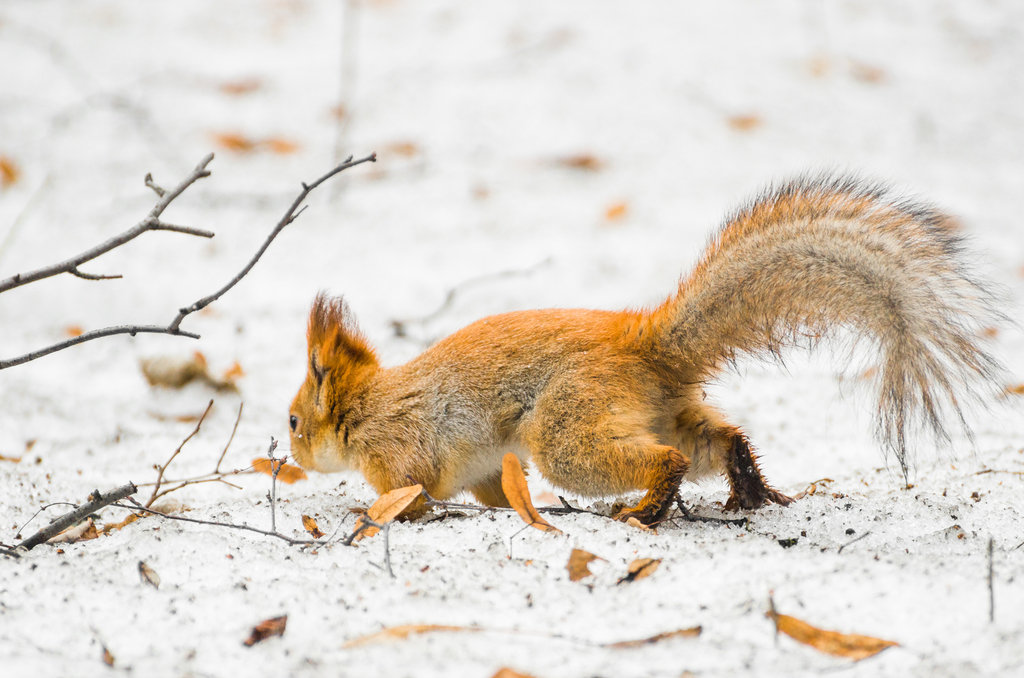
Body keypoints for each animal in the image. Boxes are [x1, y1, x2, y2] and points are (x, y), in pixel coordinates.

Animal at [287, 175, 1001, 525]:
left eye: (294, 421)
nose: (290, 456)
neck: (367, 410)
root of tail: (642, 346)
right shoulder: (483, 470)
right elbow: (491, 493)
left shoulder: (399, 455)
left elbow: (410, 495)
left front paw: (368, 512)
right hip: (660, 411)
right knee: (719, 439)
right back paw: (750, 493)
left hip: (570, 426)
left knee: (664, 459)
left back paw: (646, 510)